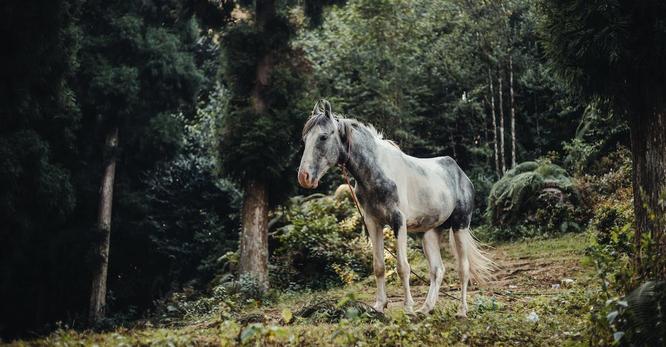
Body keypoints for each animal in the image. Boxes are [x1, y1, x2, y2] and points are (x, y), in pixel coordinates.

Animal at [296, 99, 492, 316]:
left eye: (323, 136)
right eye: (304, 139)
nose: (304, 177)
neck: (377, 172)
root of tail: (461, 174)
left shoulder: (399, 222)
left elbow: (402, 267)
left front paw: (408, 308)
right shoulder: (373, 223)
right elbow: (379, 266)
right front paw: (379, 306)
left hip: (460, 226)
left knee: (463, 268)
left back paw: (461, 311)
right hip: (430, 233)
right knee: (437, 270)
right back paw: (426, 308)